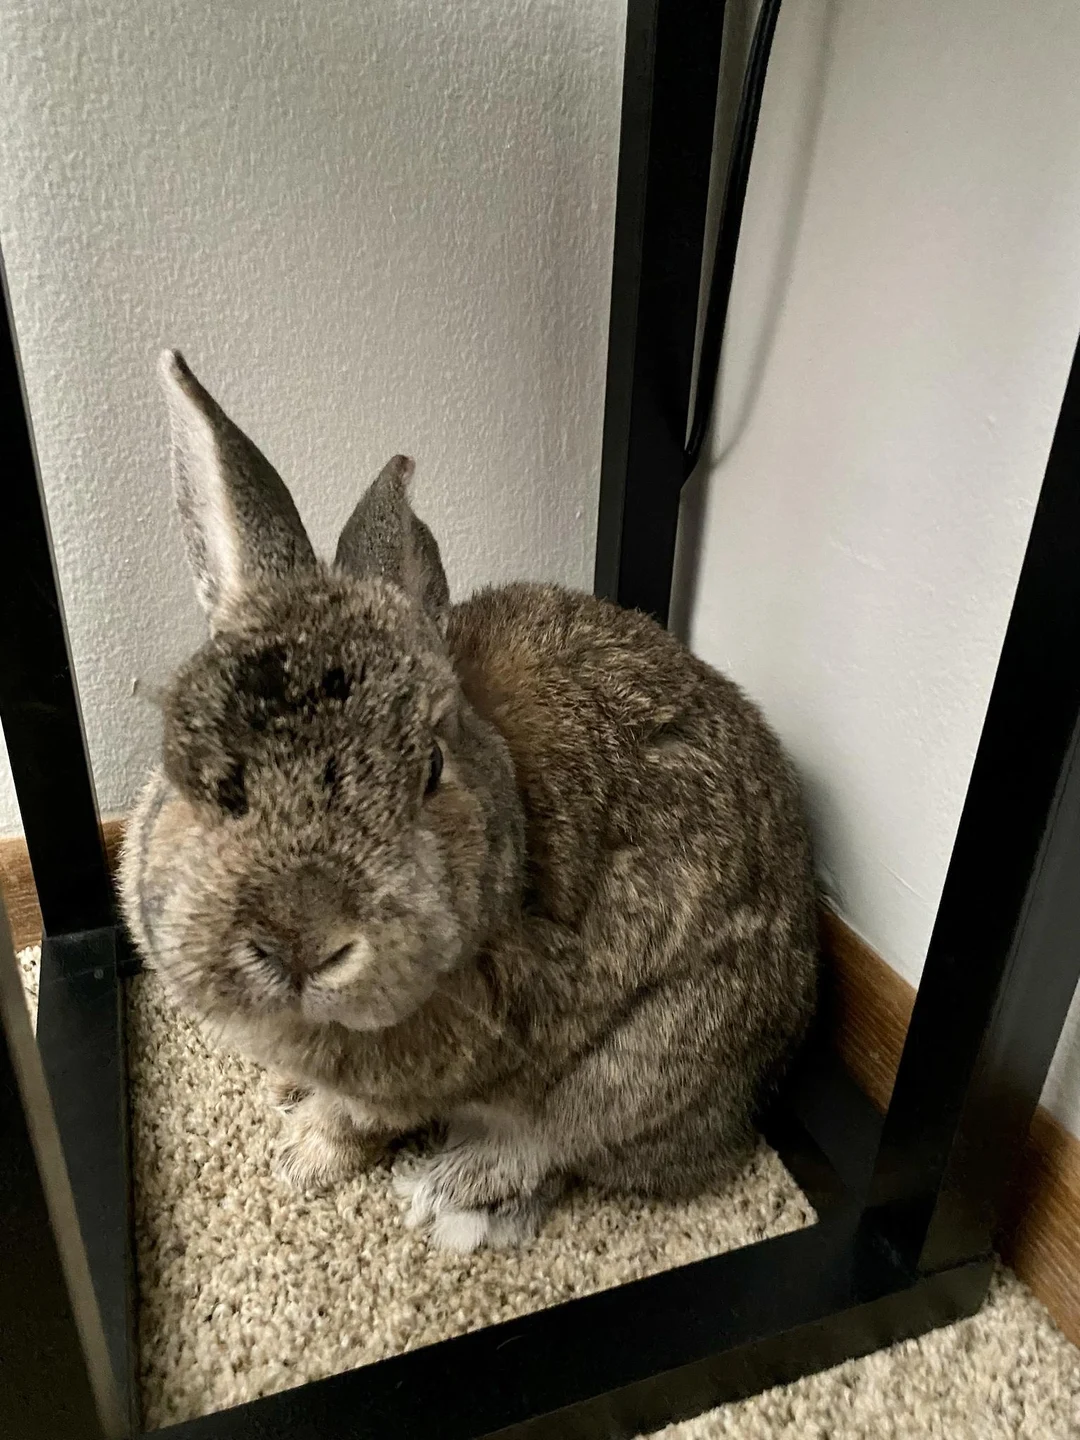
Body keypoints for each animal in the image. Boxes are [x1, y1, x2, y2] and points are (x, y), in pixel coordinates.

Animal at [119, 349, 819, 1253]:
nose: (298, 939)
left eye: (430, 769)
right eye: (195, 756)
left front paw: (300, 1159)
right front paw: (282, 1096)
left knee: (560, 1145)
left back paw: (448, 1188)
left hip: (644, 1061)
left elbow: (355, 1121)